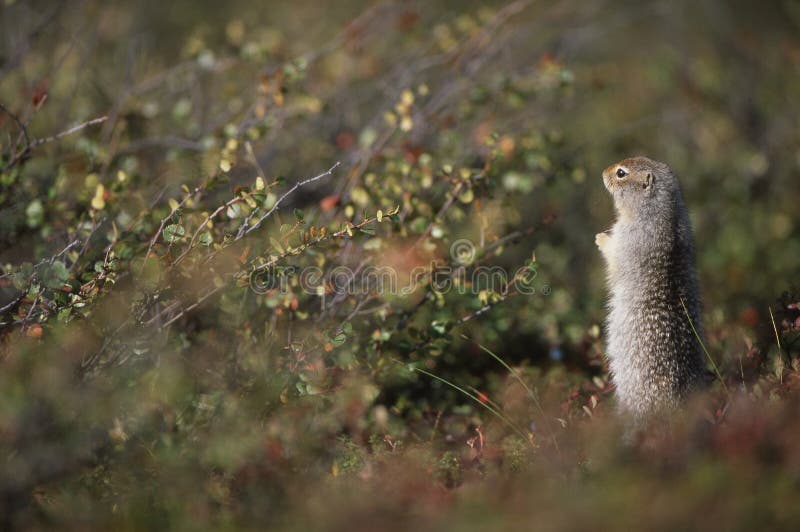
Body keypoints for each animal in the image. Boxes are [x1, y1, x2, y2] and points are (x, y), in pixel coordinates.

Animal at [595, 156, 706, 420]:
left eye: (621, 173)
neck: (667, 212)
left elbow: (614, 255)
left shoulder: (628, 235)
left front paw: (600, 238)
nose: (602, 172)